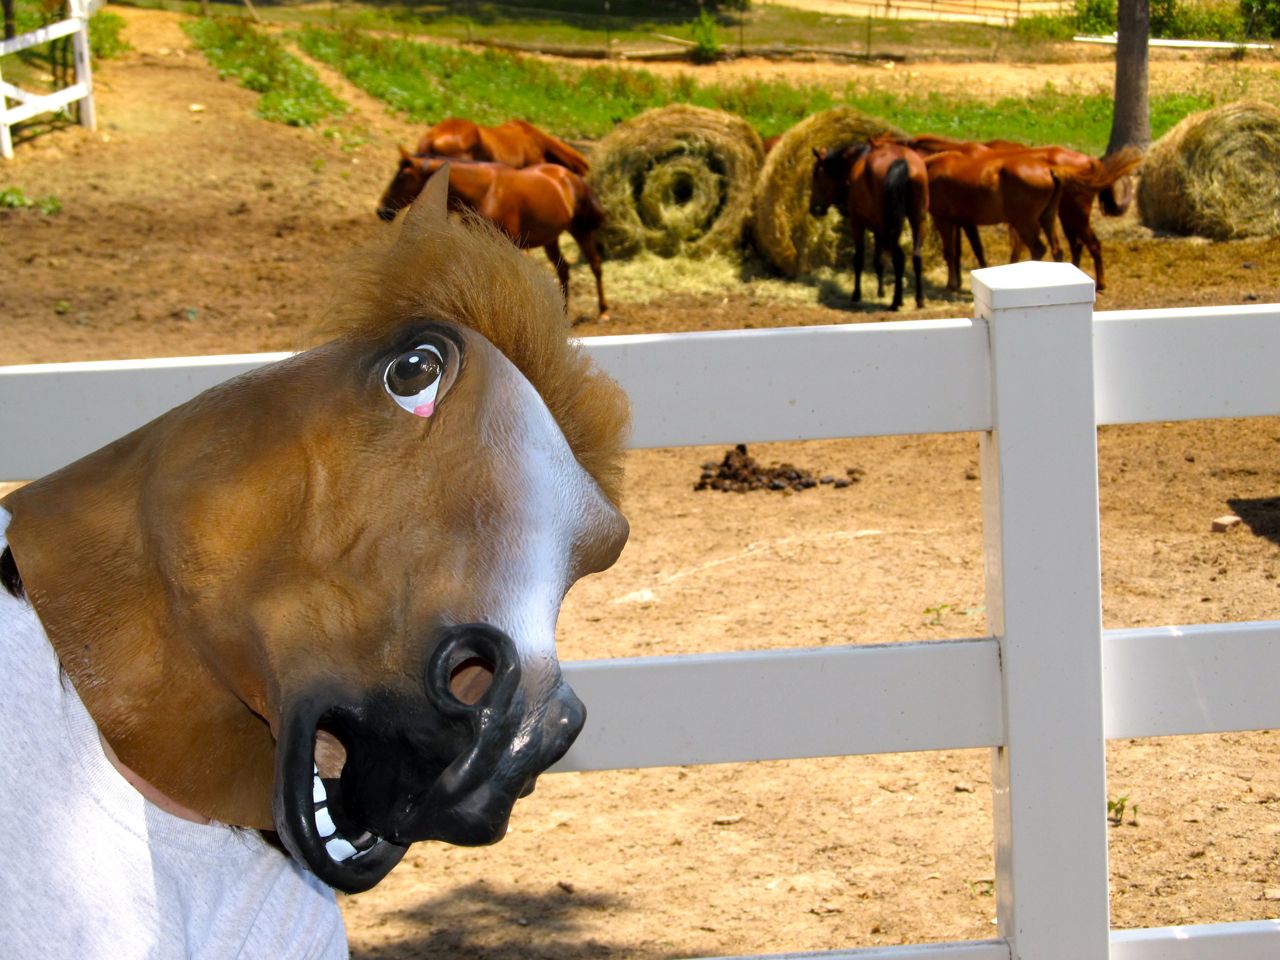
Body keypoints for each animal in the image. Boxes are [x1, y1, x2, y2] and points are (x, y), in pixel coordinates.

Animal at [378, 151, 609, 320]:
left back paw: (603, 311)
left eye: (401, 177)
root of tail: (570, 177)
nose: (382, 211)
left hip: (580, 231)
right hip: (550, 238)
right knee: (563, 270)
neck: (485, 191)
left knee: (596, 265)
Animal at [809, 141, 929, 310]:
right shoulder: (878, 230)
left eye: (816, 175)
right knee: (916, 256)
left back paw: (896, 301)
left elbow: (859, 259)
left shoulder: (858, 223)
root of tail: (902, 161)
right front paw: (881, 291)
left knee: (899, 258)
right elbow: (879, 261)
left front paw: (856, 294)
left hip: (888, 226)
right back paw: (919, 299)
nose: (814, 208)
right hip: (917, 219)